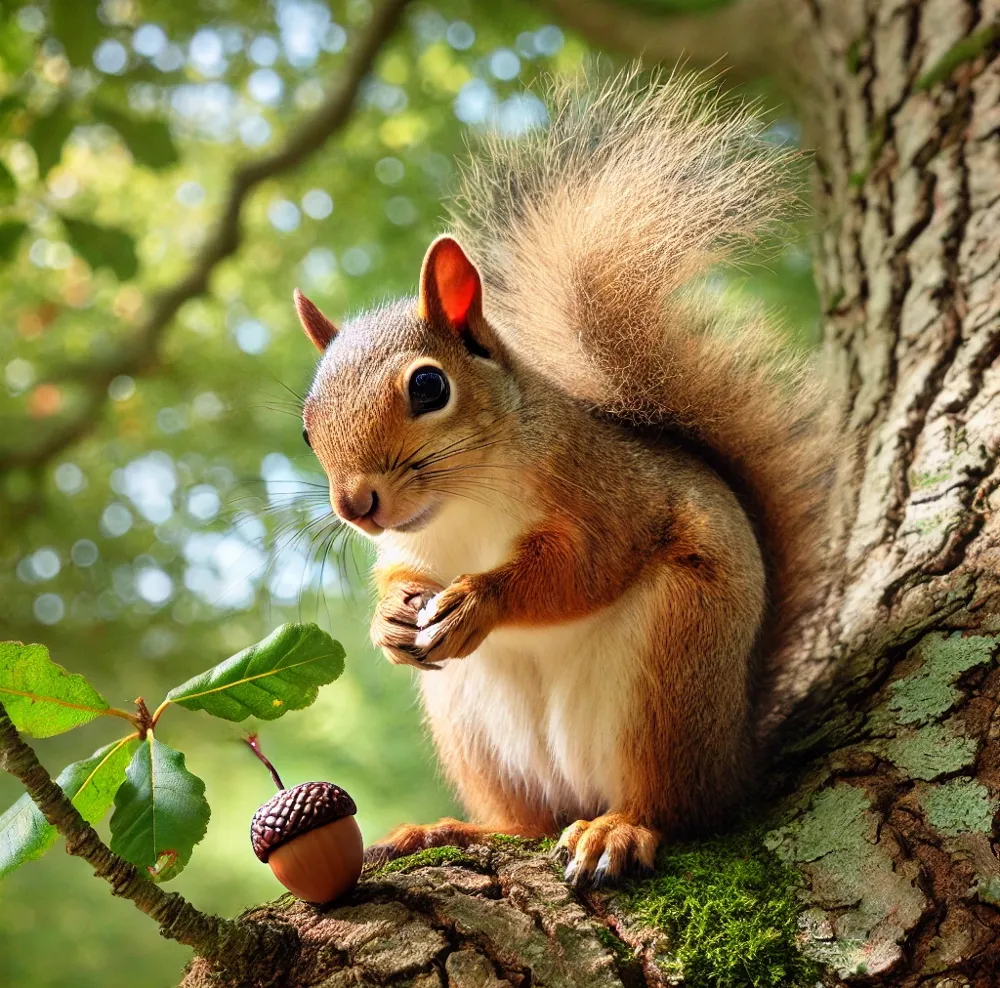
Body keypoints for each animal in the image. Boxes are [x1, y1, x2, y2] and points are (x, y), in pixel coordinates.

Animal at [295, 69, 832, 886]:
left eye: (428, 386)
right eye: (305, 425)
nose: (357, 506)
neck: (460, 509)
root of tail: (735, 758)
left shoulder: (606, 494)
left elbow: (585, 567)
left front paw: (483, 599)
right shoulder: (408, 549)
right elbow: (397, 577)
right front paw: (389, 621)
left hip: (669, 673)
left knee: (672, 806)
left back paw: (617, 829)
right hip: (474, 729)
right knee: (524, 820)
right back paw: (451, 830)